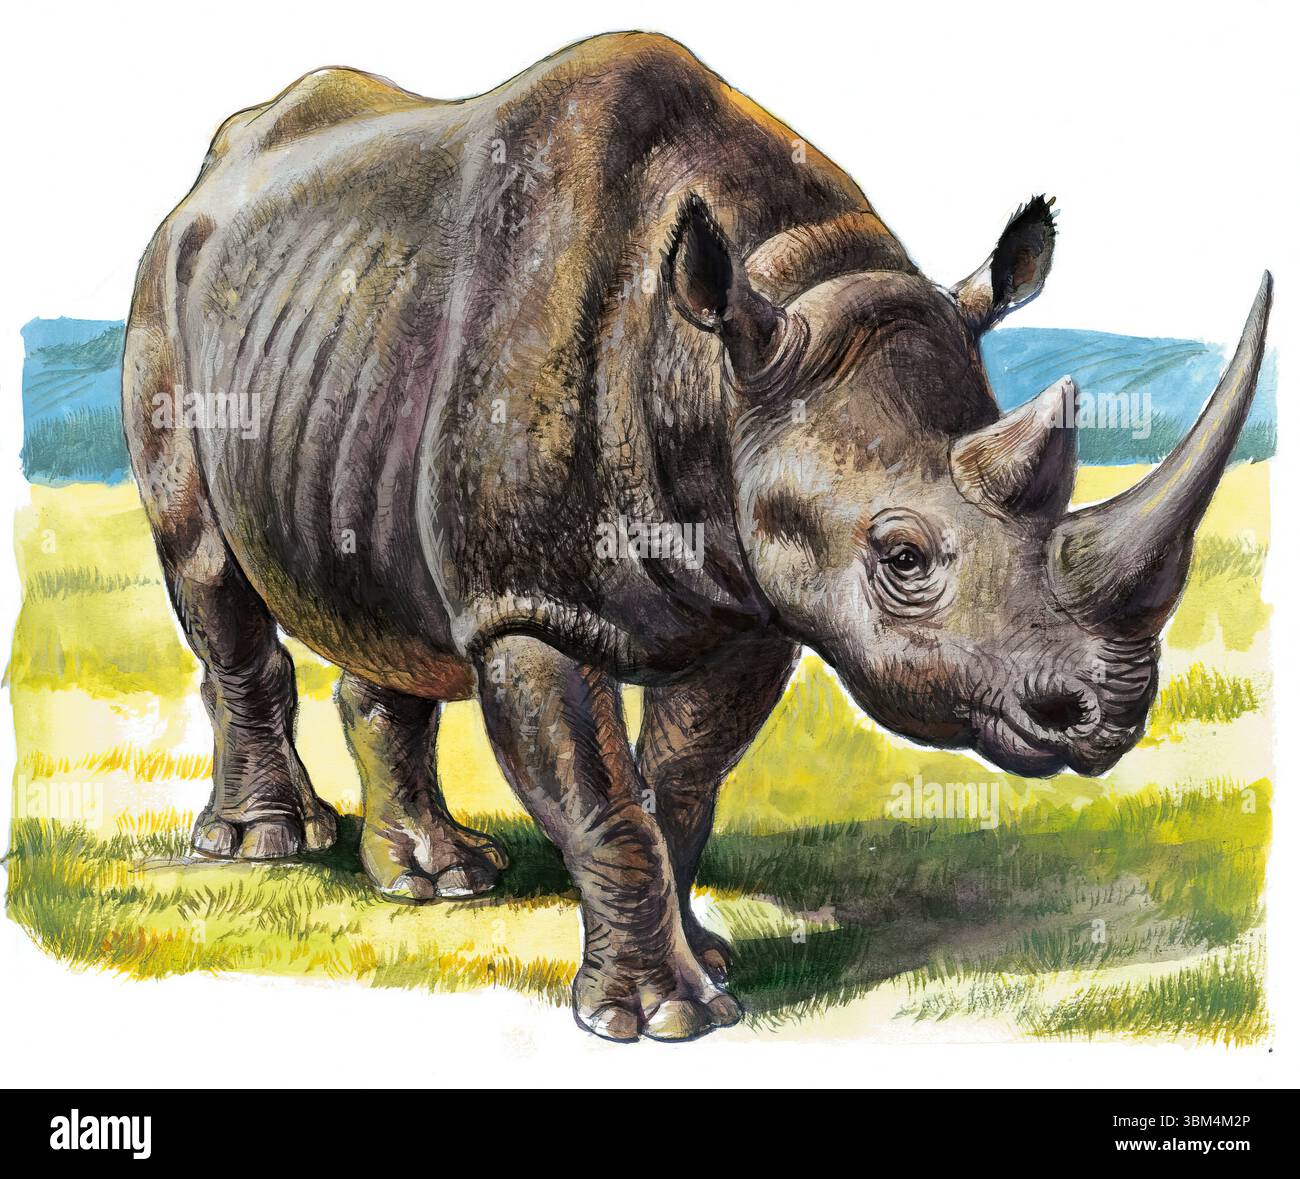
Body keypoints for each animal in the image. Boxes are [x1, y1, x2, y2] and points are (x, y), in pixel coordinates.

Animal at [123, 31, 1272, 1041]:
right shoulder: (531, 604)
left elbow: (679, 785)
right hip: (165, 301)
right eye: (902, 558)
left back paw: (439, 877)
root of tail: (207, 178)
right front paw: (656, 1019)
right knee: (209, 572)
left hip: (344, 346)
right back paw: (268, 847)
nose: (1110, 712)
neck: (717, 366)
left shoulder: (753, 597)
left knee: (381, 596)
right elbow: (603, 801)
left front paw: (708, 959)